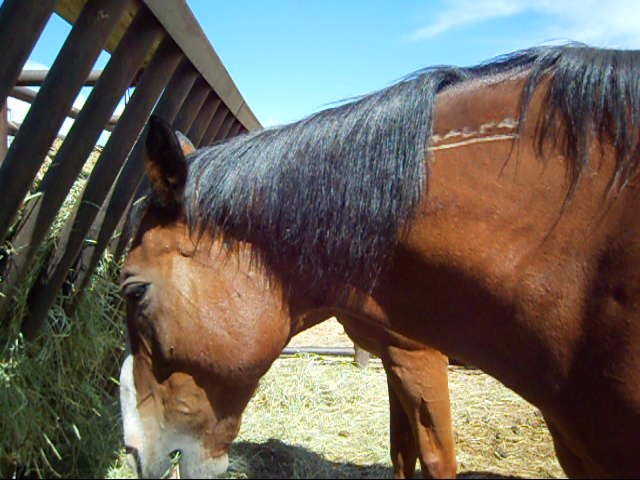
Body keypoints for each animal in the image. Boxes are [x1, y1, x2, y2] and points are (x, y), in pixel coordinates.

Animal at [120, 44, 640, 478]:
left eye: (134, 290)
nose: (135, 449)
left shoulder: (419, 357)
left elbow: (436, 459)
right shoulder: (396, 360)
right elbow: (401, 452)